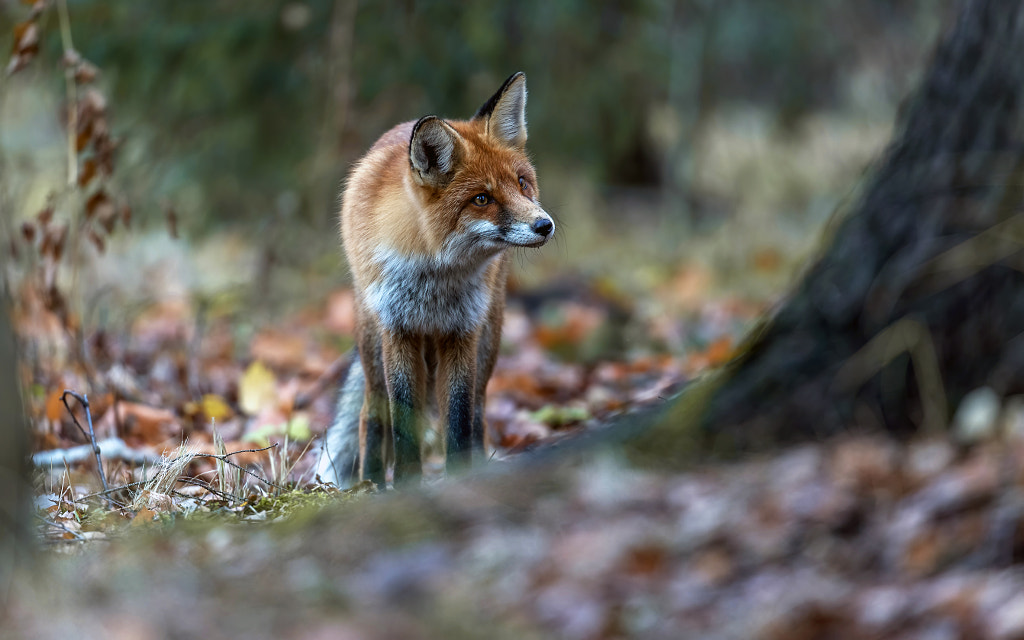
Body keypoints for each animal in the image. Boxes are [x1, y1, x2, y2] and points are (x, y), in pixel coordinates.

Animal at [316, 72, 554, 488]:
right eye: (482, 199)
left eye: (523, 183)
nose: (545, 226)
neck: (435, 276)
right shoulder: (398, 331)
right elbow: (402, 421)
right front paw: (406, 485)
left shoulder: (462, 332)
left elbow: (457, 421)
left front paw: (461, 477)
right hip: (371, 344)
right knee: (370, 412)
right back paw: (370, 482)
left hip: (488, 338)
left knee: (477, 412)